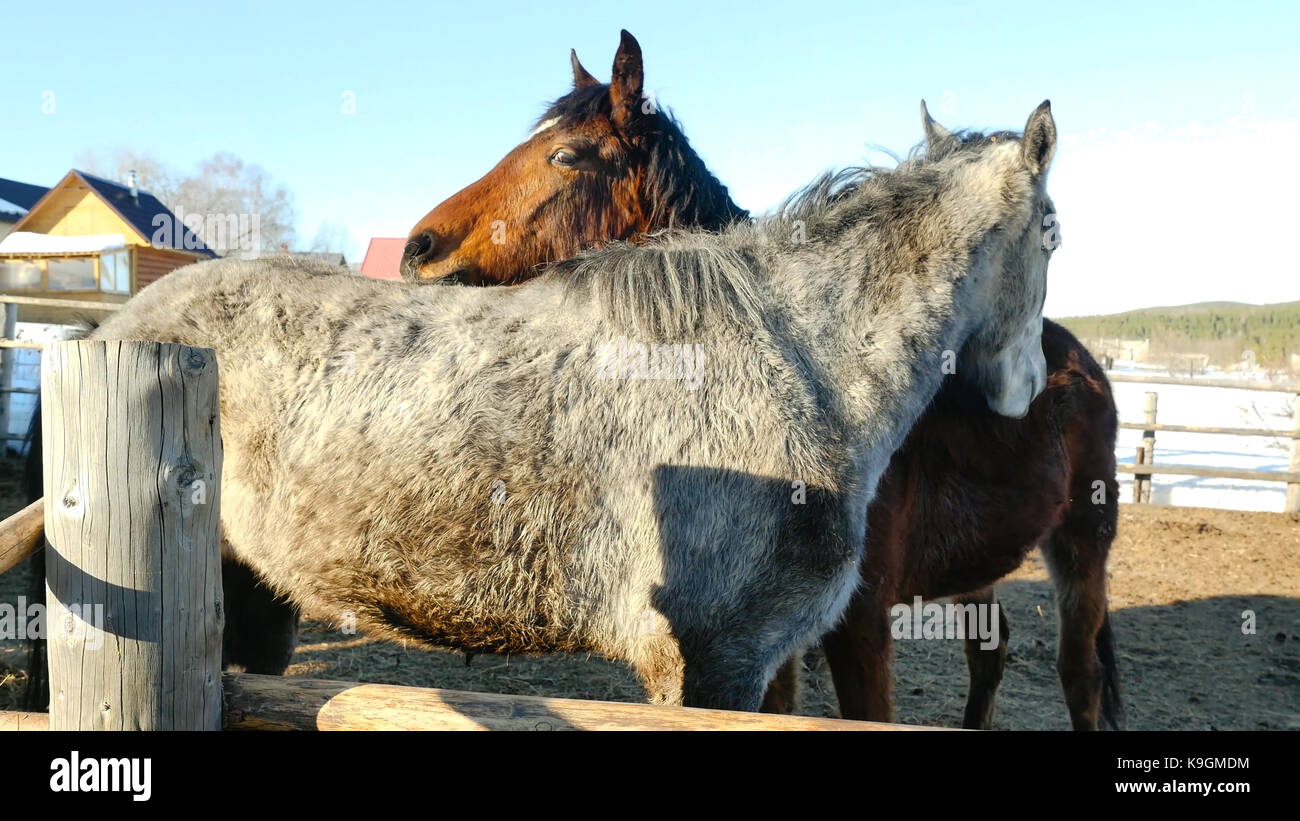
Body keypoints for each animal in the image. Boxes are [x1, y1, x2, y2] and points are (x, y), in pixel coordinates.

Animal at [404, 33, 1122, 729]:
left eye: (567, 155)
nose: (418, 250)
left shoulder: (858, 626)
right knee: (990, 655)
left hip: (1083, 545)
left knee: (1078, 675)